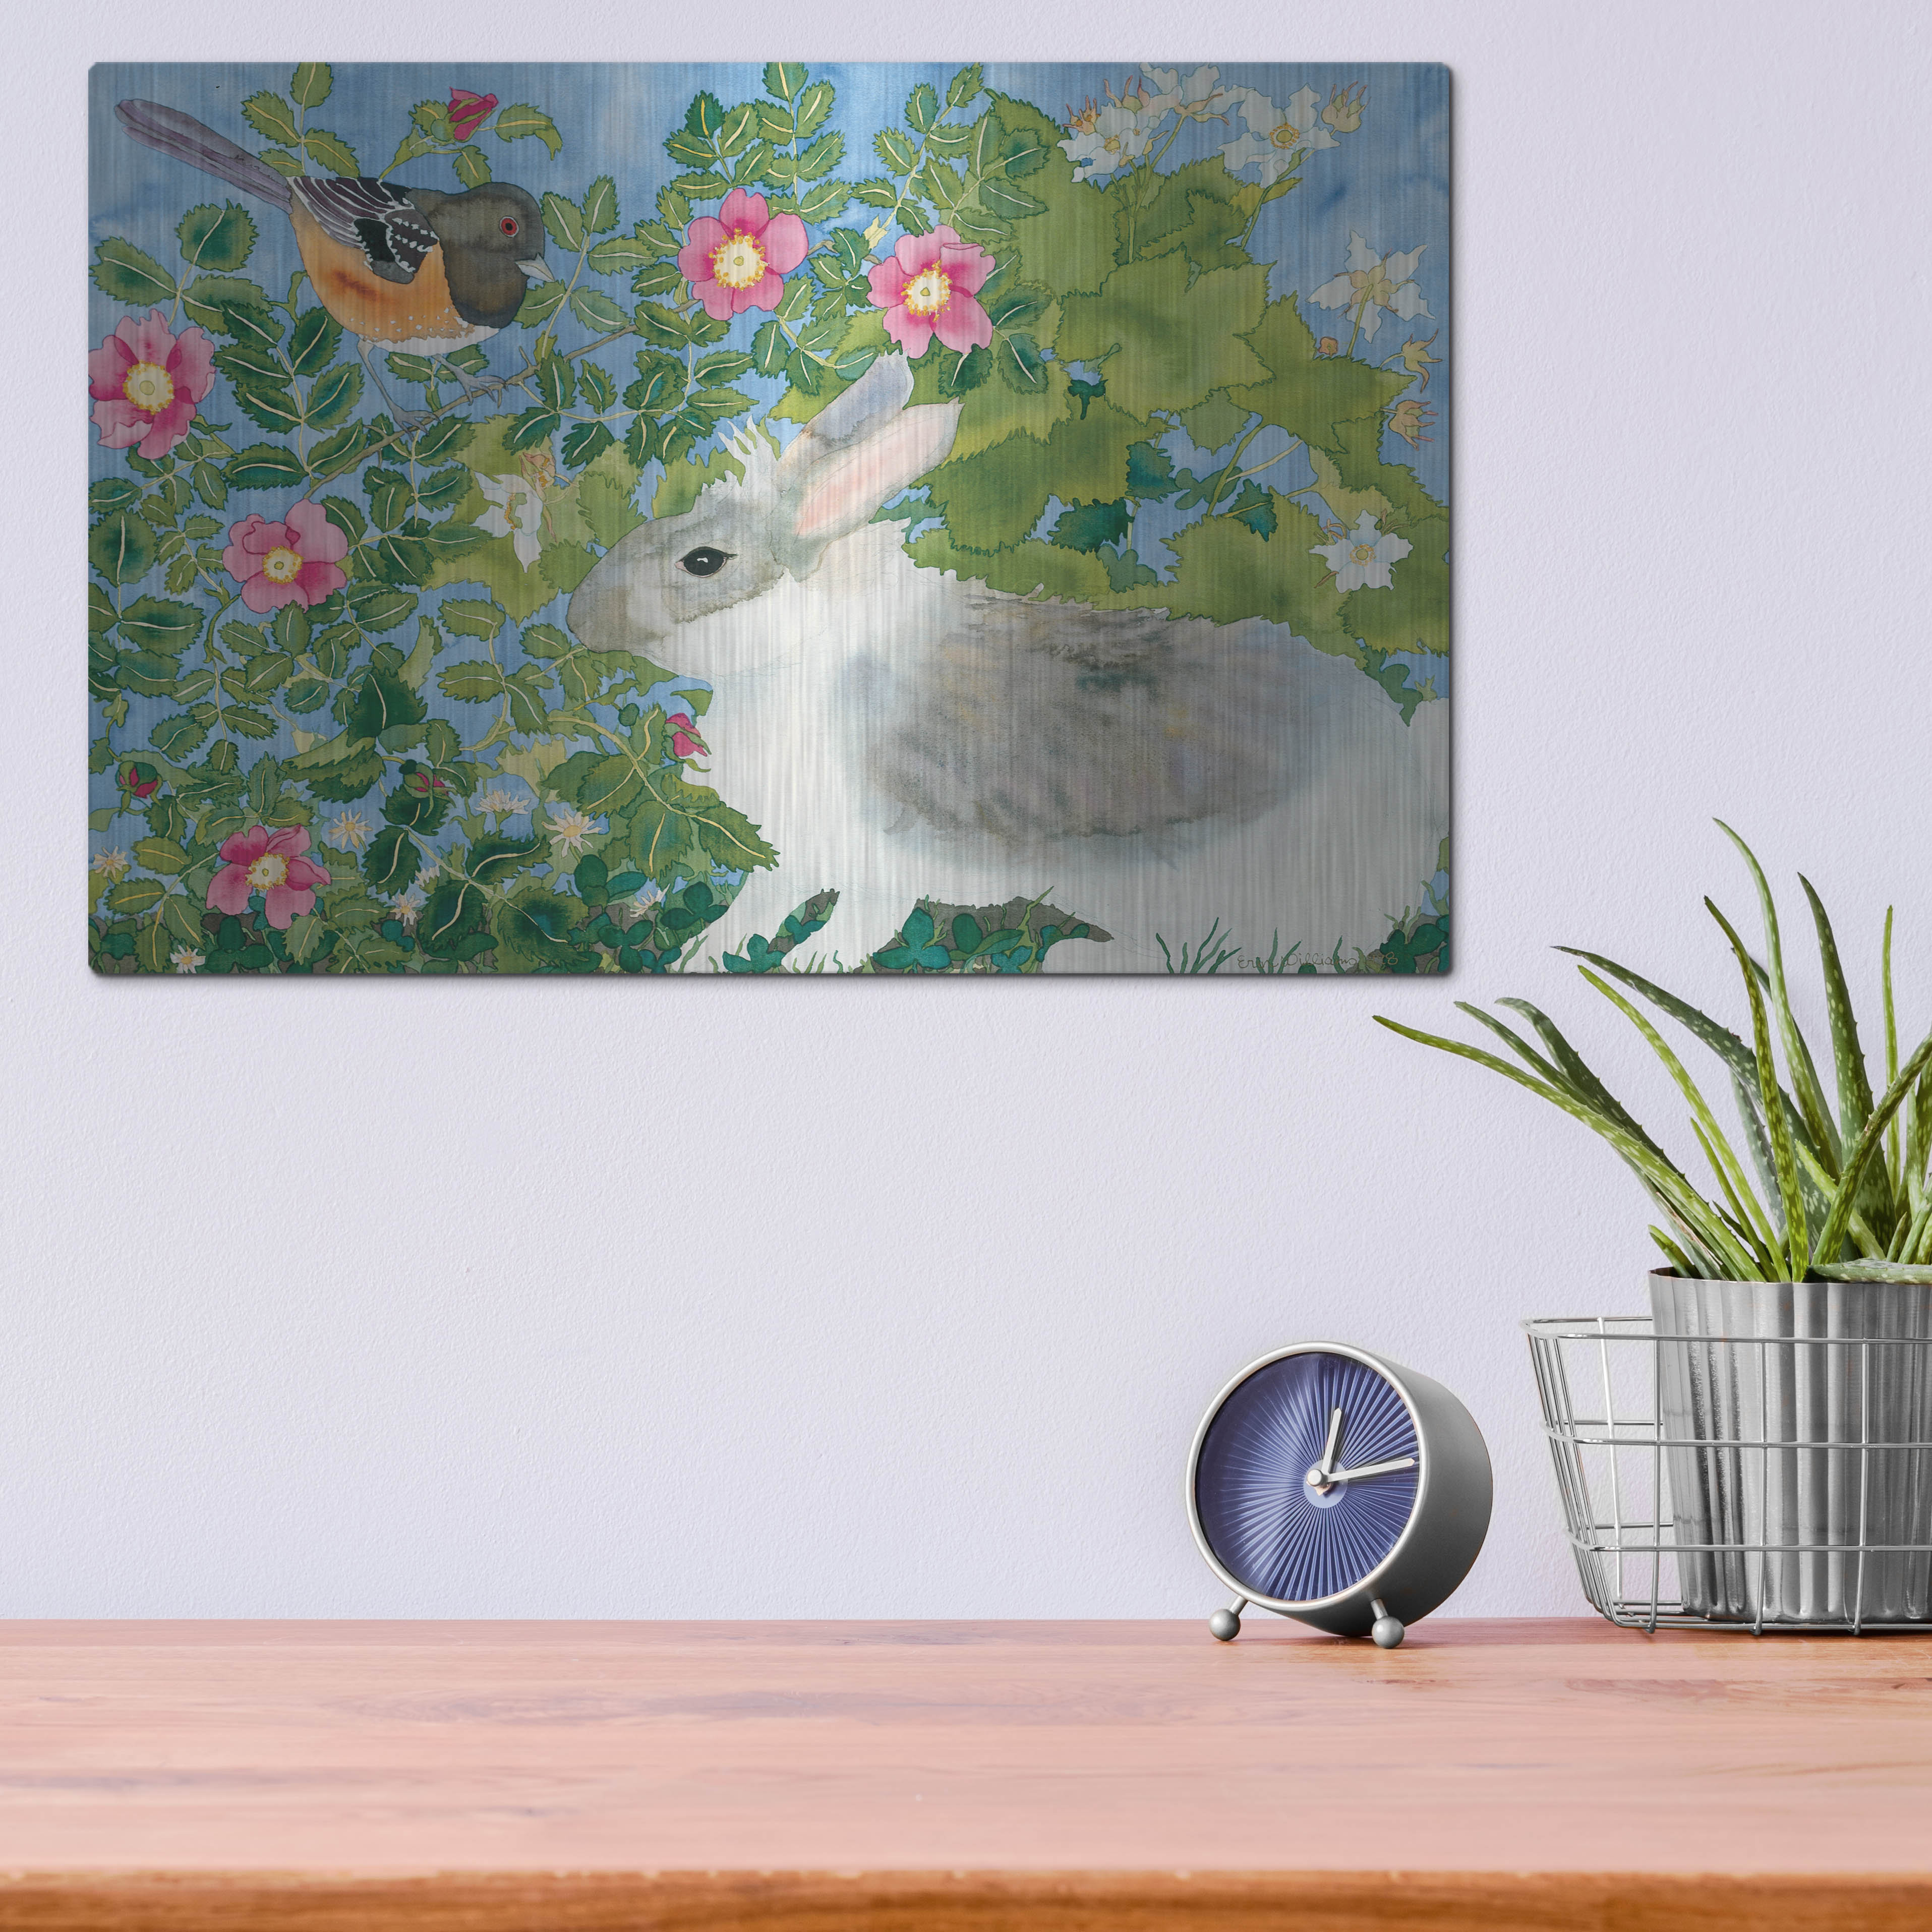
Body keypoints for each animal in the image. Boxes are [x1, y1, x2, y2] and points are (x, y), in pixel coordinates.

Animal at [566, 353, 1449, 973]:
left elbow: (850, 929)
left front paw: (808, 963)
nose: (575, 615)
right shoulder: (796, 857)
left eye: (703, 563)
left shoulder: (878, 858)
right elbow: (747, 915)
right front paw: (696, 957)